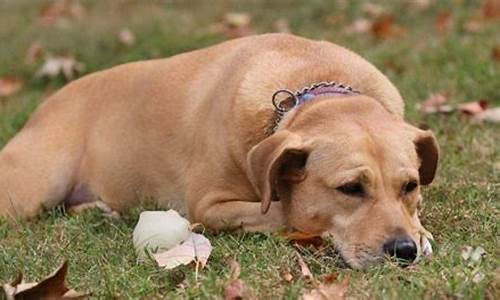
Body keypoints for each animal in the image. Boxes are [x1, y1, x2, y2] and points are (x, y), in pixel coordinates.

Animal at [0, 34, 438, 268]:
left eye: (410, 186)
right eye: (350, 189)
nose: (403, 251)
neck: (310, 89)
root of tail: (44, 104)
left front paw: (421, 231)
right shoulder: (209, 205)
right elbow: (282, 211)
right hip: (32, 188)